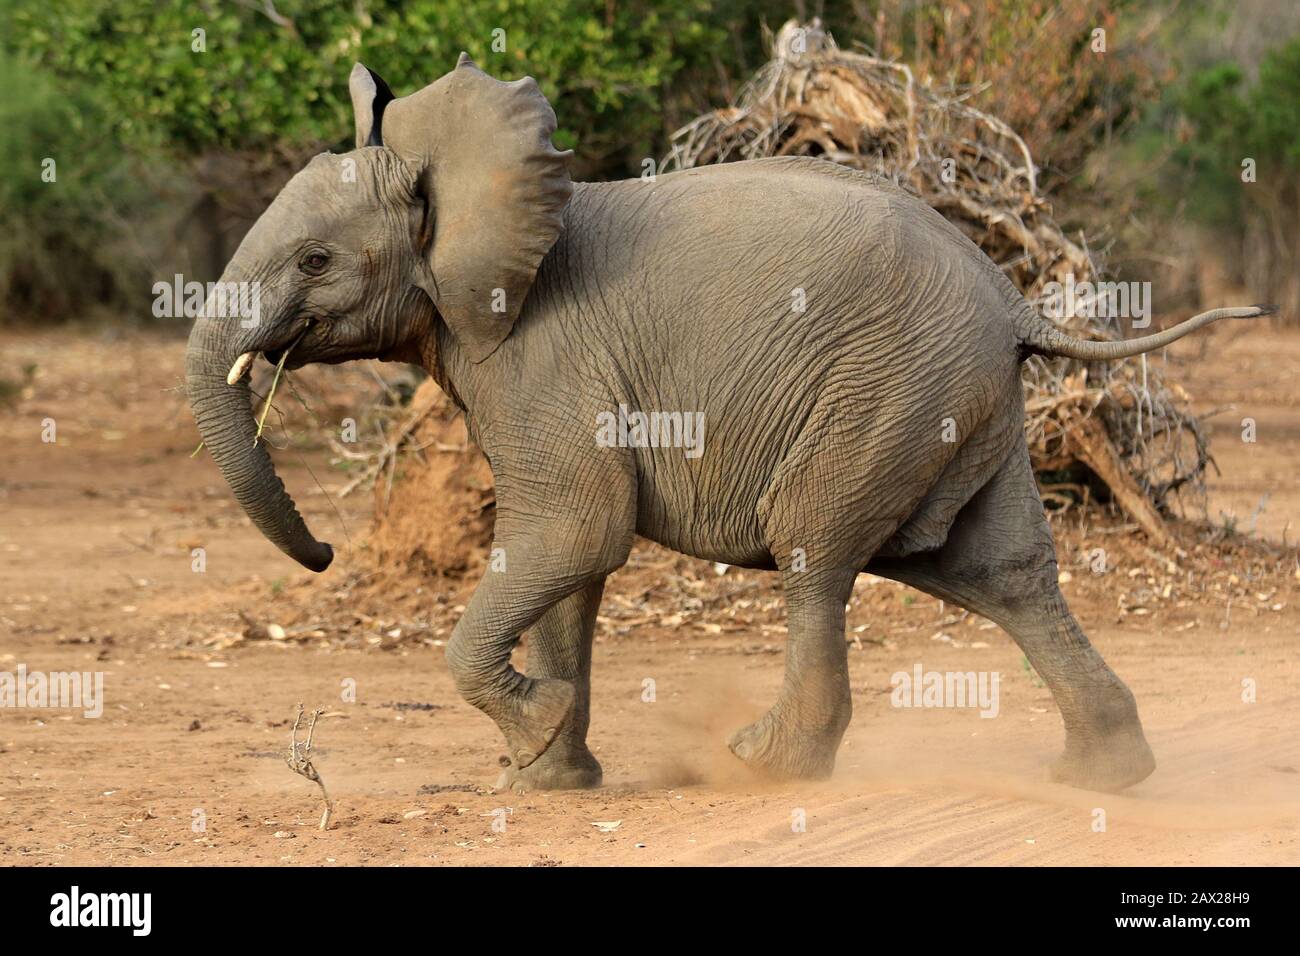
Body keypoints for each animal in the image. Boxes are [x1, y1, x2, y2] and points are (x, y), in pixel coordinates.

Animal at [186, 55, 1272, 793]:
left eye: (316, 260)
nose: (325, 550)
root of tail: (1013, 302)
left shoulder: (539, 359)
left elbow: (575, 531)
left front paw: (537, 739)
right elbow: (569, 565)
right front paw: (548, 777)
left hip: (883, 389)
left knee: (815, 544)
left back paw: (766, 762)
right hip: (961, 402)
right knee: (997, 570)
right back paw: (1105, 775)